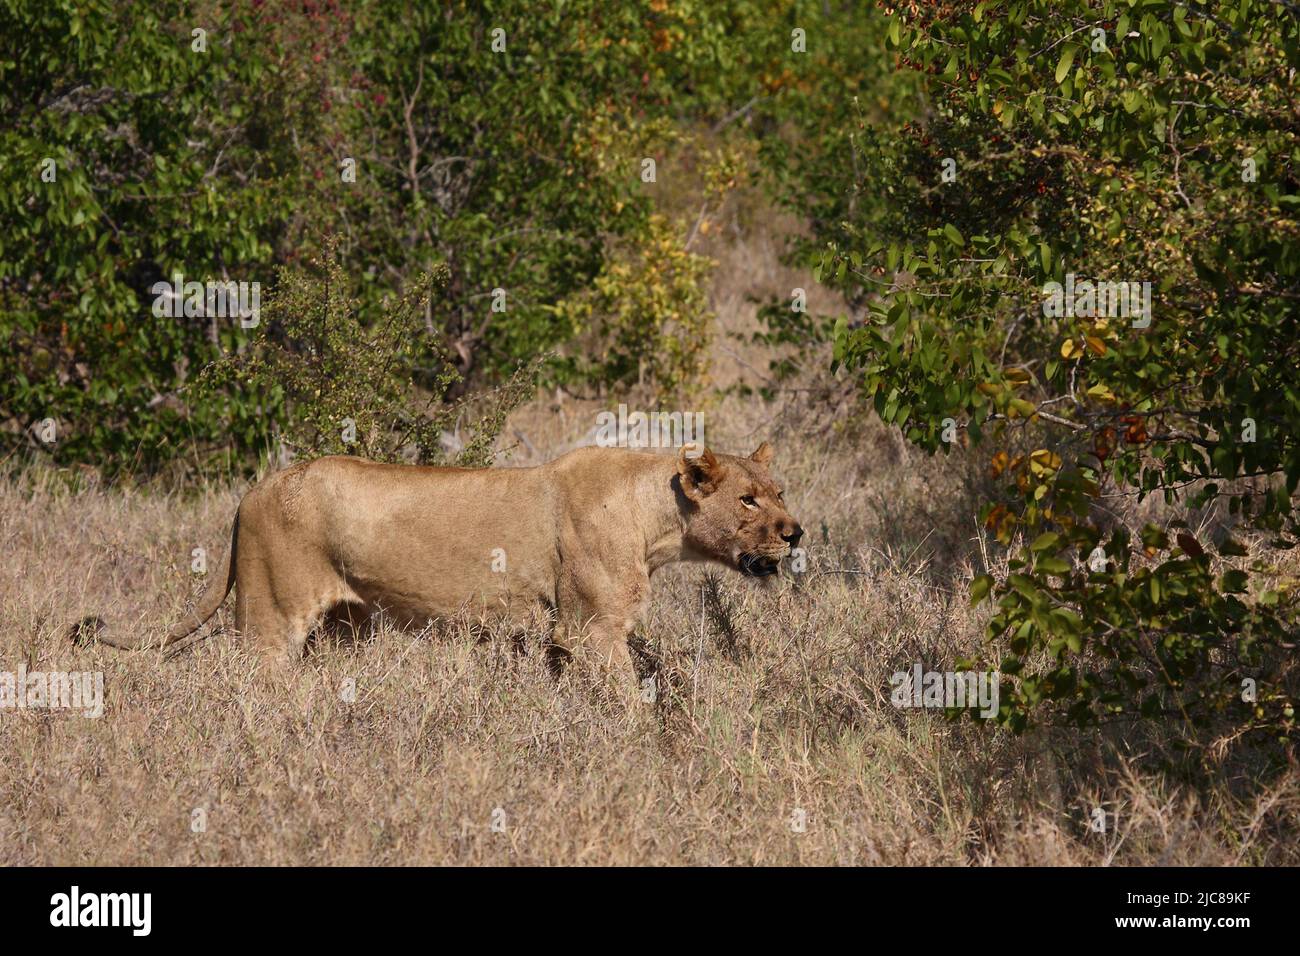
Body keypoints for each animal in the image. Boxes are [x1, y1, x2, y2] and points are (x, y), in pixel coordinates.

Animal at [71, 442, 802, 684]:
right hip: (270, 618)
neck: (658, 519)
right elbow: (631, 702)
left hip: (343, 627)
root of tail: (252, 490)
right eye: (747, 498)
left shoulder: (562, 637)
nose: (795, 533)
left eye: (780, 491)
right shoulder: (592, 631)